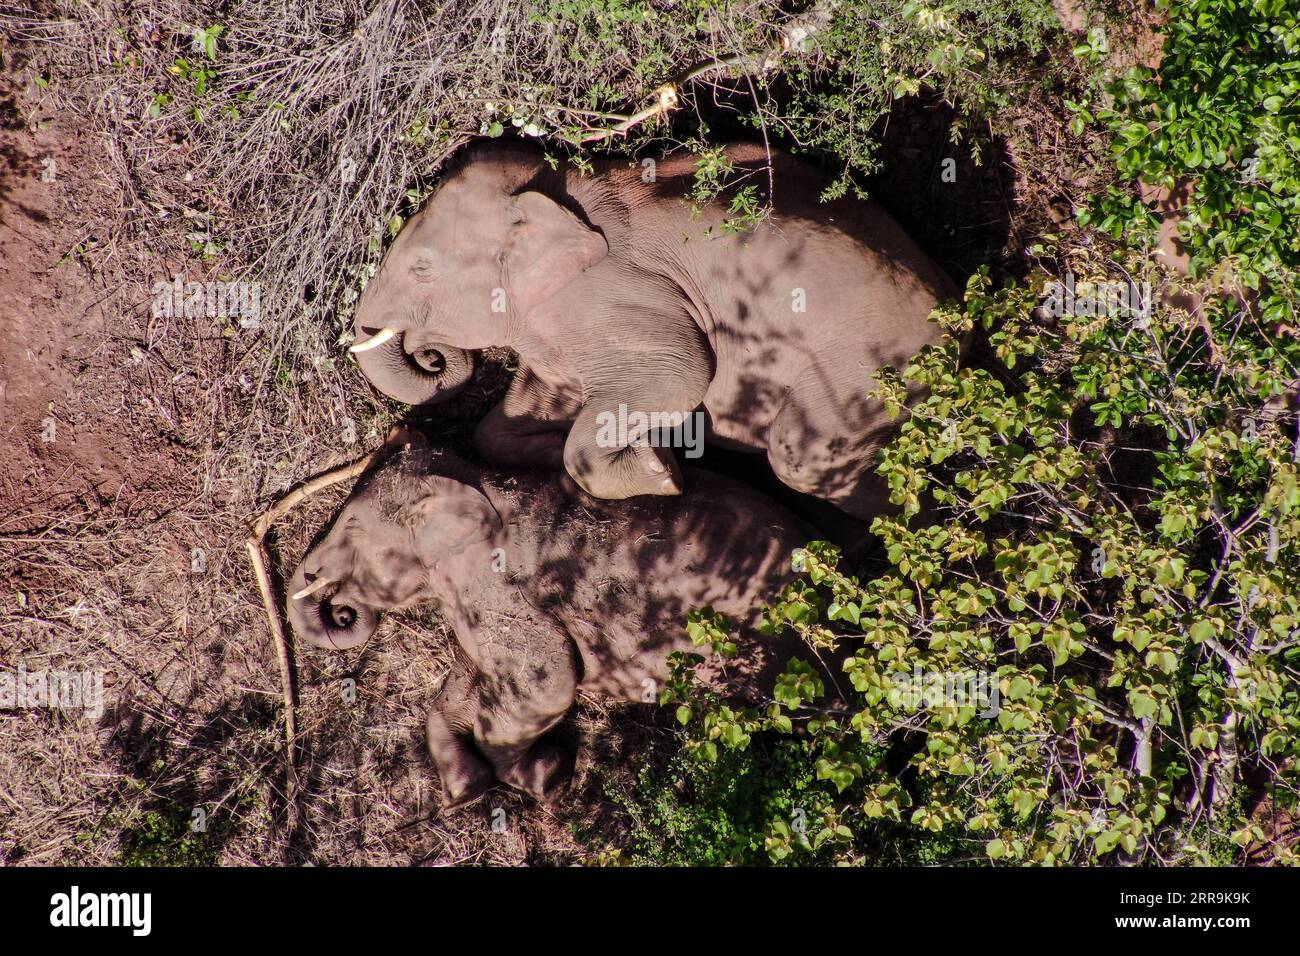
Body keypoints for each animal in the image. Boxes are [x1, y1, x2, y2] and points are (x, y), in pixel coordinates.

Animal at [285, 432, 816, 807]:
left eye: (351, 527)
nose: (340, 605)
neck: (475, 479)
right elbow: (474, 677)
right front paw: (465, 791)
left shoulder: (501, 587)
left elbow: (550, 682)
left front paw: (545, 774)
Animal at [348, 141, 956, 518]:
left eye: (422, 269)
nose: (430, 353)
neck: (553, 190)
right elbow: (503, 427)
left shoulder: (611, 296)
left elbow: (683, 373)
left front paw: (662, 471)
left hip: (871, 364)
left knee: (802, 458)